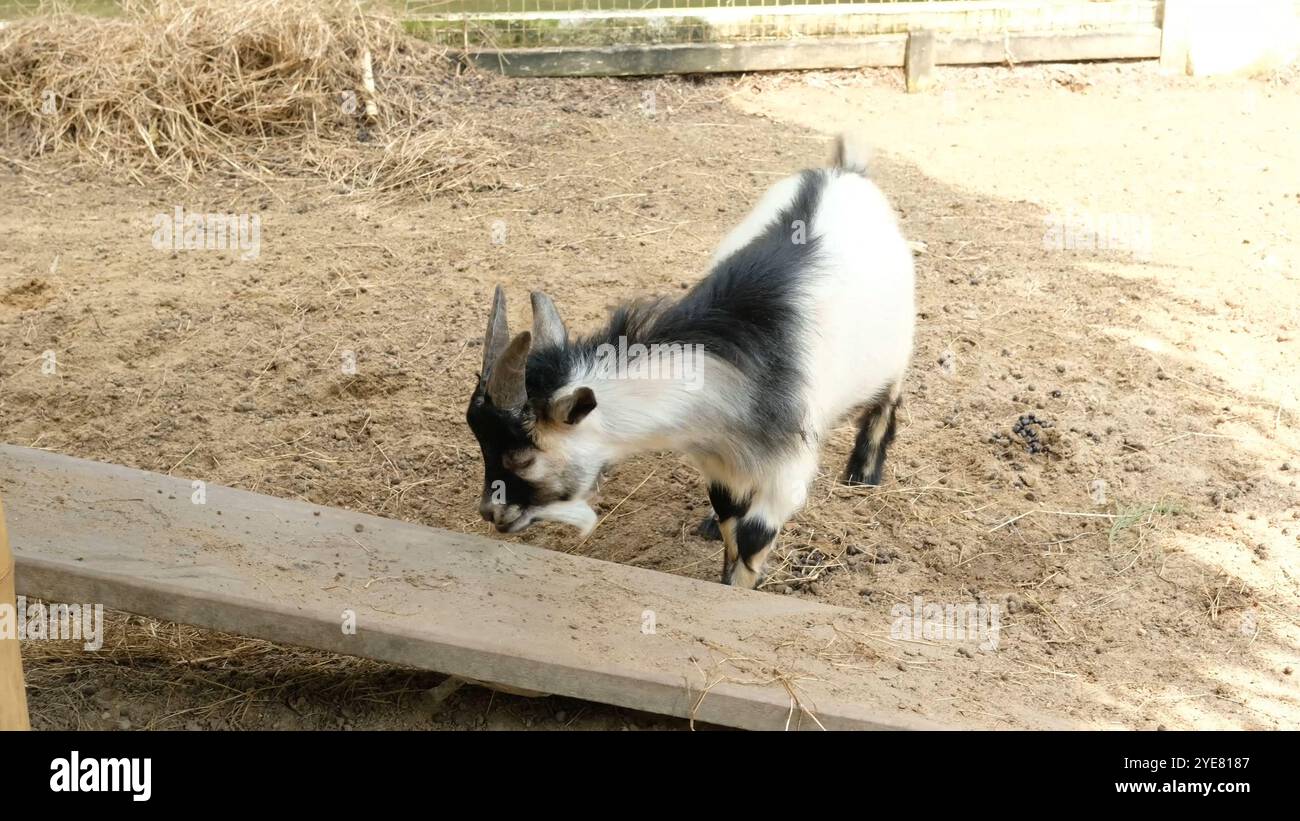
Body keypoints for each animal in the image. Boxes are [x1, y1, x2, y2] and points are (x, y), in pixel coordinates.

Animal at [466, 134, 915, 589]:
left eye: (522, 458)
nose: (491, 512)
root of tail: (845, 171)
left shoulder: (787, 469)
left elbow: (753, 534)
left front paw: (738, 590)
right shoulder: (717, 458)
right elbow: (729, 512)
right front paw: (719, 548)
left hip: (897, 346)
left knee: (888, 397)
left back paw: (864, 475)